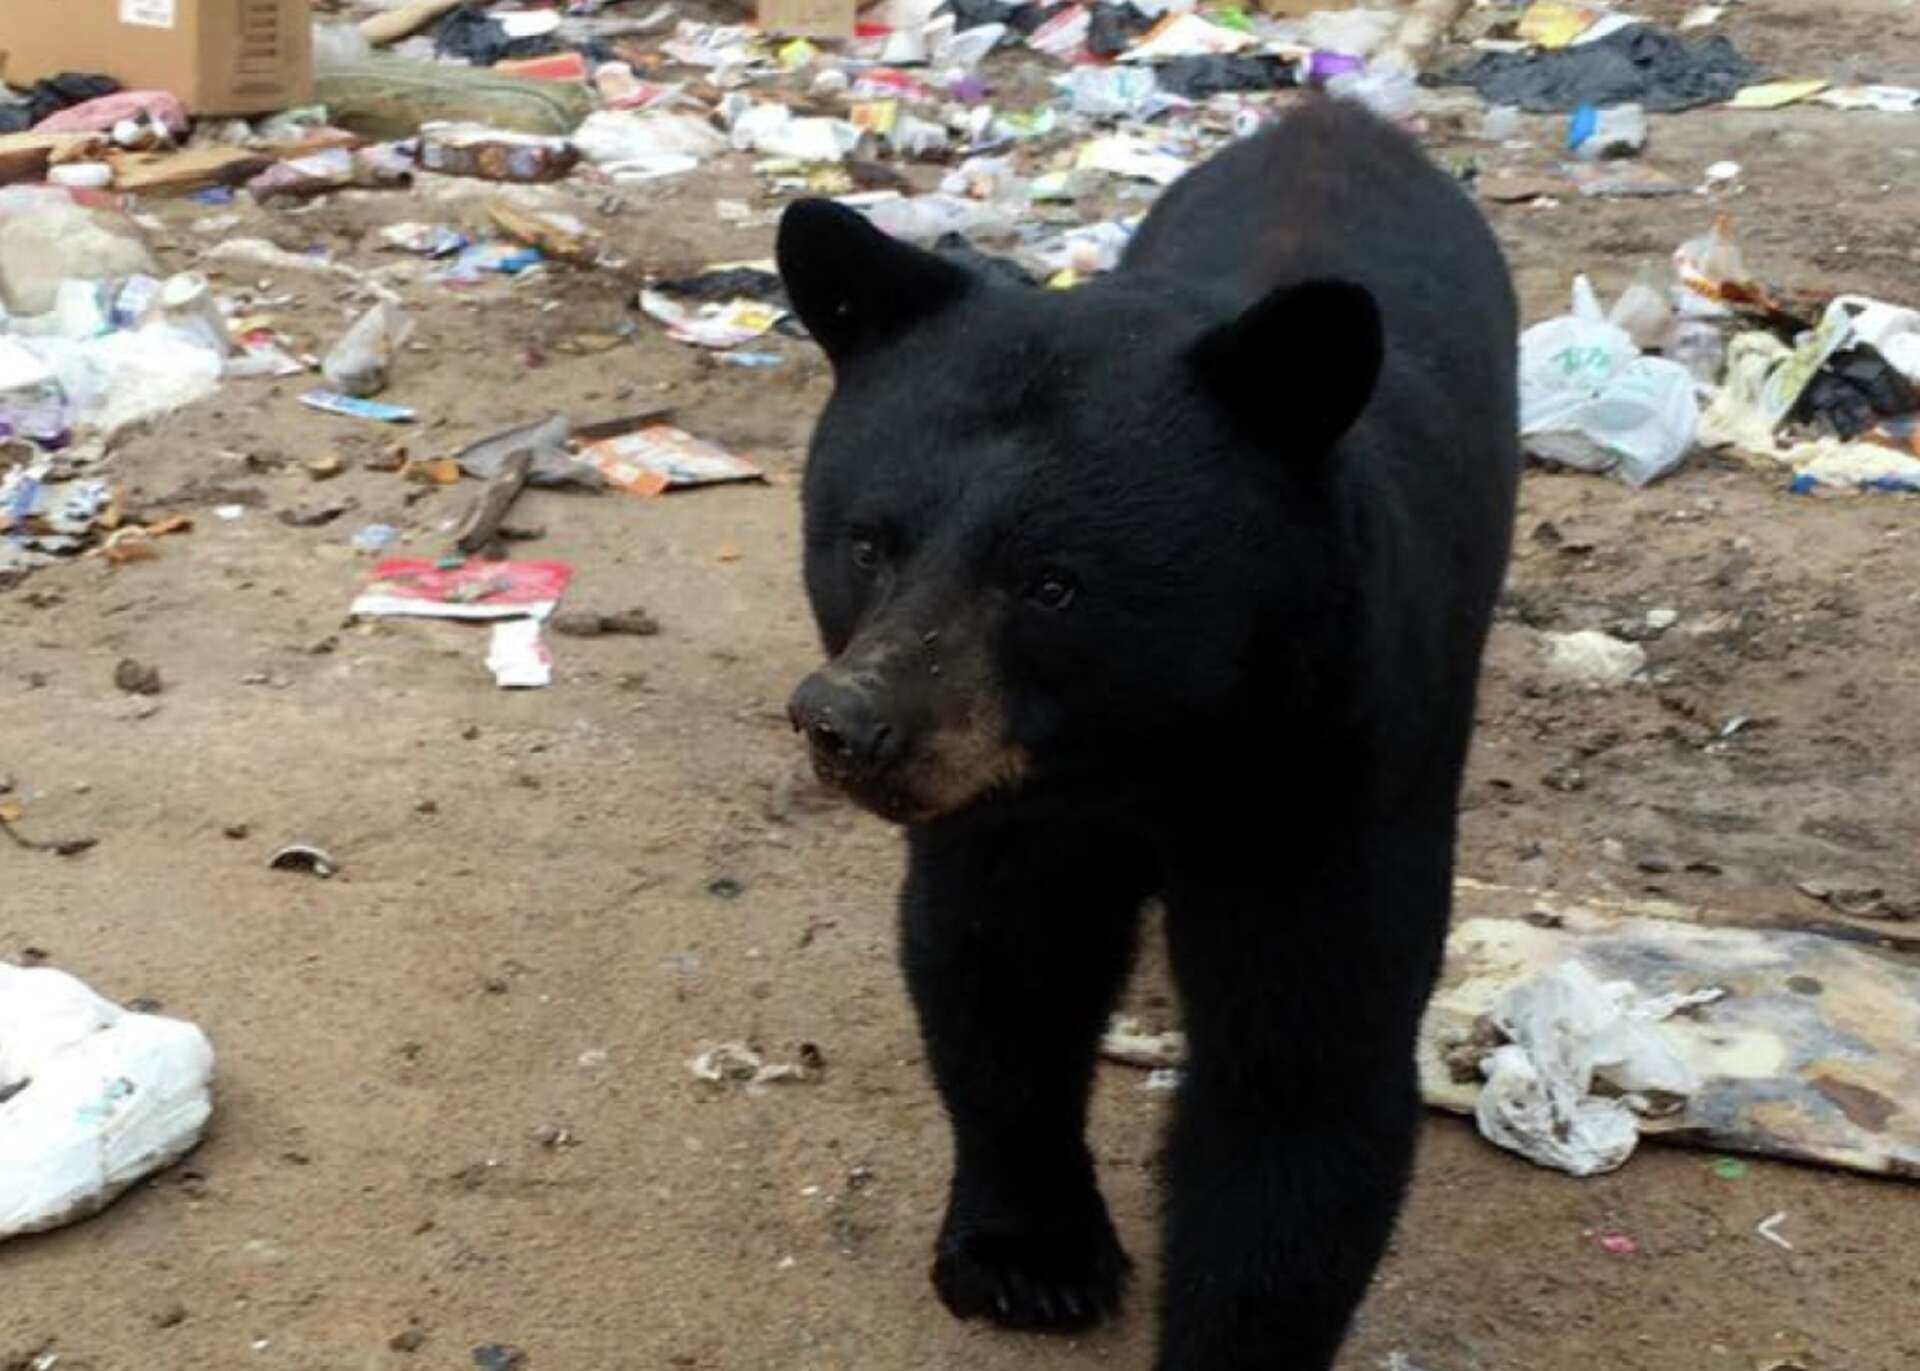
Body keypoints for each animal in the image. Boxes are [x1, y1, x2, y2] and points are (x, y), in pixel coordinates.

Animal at [775, 96, 1519, 1371]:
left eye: (1053, 583)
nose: (849, 724)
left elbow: (1300, 1063)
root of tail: (1338, 114)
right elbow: (1002, 965)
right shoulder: (1014, 799)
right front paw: (1028, 1257)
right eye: (868, 541)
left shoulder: (1334, 763)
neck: (1147, 744)